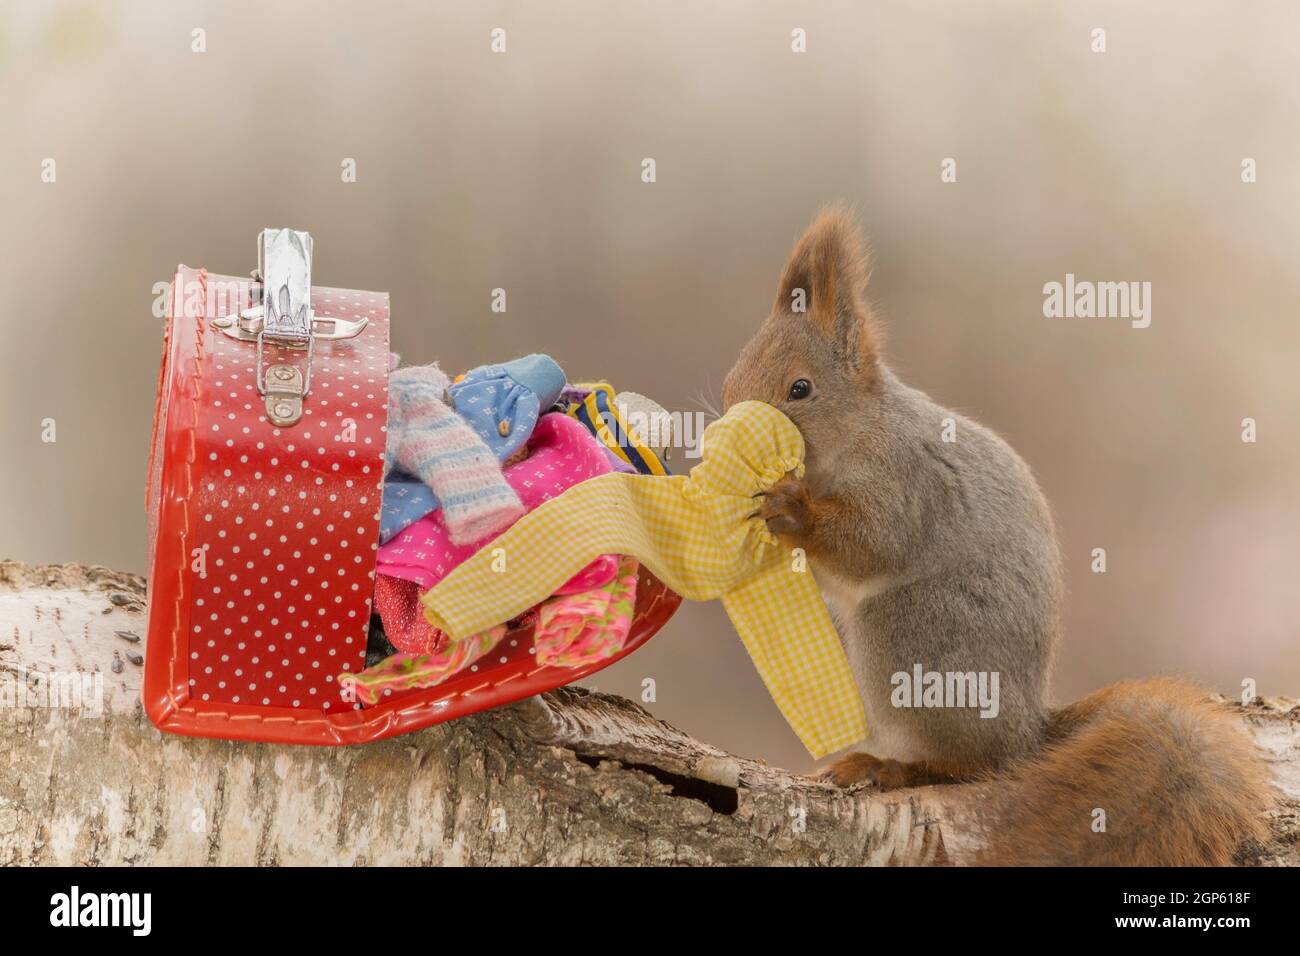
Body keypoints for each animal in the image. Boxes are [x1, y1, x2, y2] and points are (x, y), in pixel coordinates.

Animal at [721, 206, 1274, 865]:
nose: (720, 438)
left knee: (969, 764)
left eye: (800, 389)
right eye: (730, 377)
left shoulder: (908, 483)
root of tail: (1026, 734)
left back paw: (891, 767)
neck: (858, 432)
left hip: (912, 638)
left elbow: (872, 543)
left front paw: (790, 509)